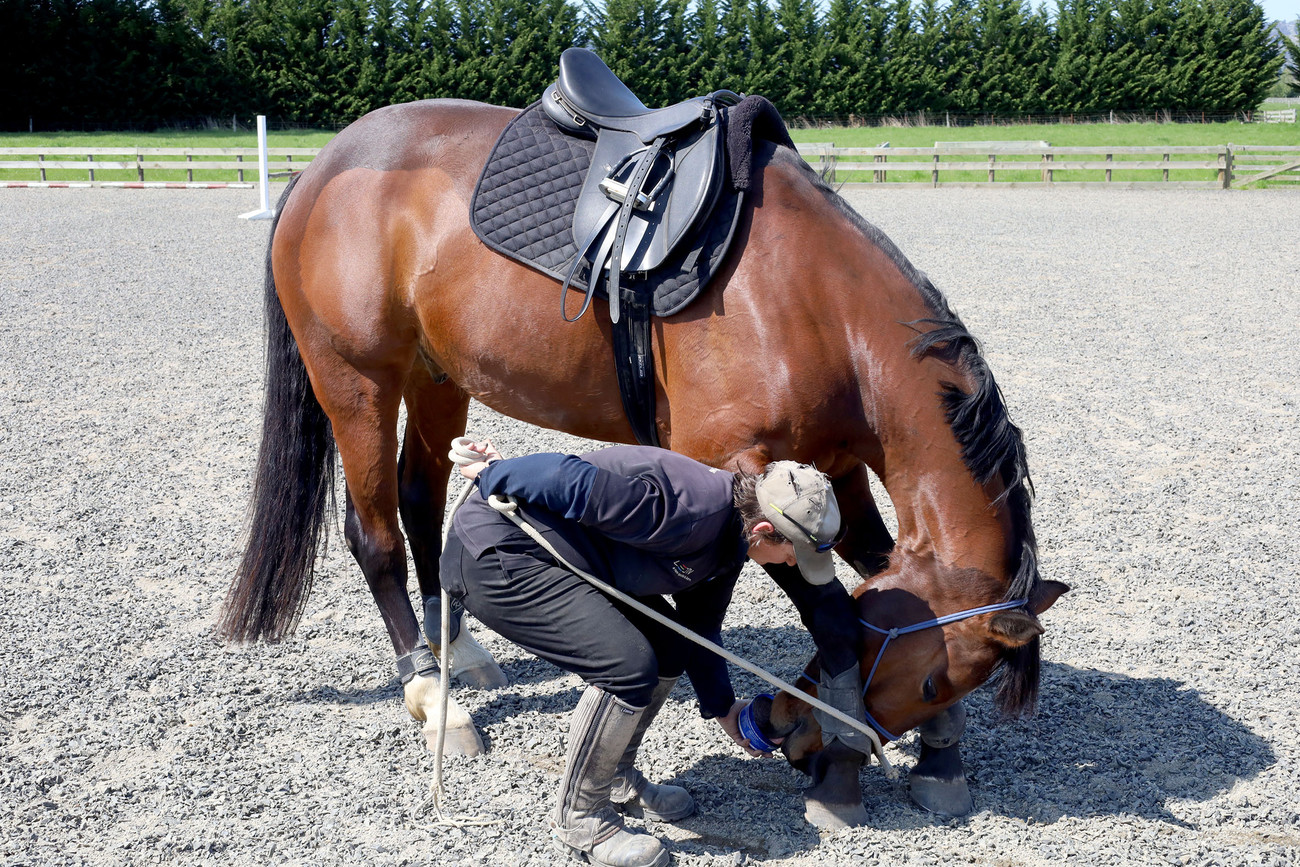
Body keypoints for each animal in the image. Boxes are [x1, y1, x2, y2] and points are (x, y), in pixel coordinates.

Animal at [216, 97, 1067, 827]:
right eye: (927, 678)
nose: (793, 734)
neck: (819, 305)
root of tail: (321, 167)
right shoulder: (732, 464)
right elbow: (812, 616)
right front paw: (844, 765)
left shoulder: (837, 470)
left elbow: (871, 566)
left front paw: (936, 757)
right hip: (356, 380)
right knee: (377, 537)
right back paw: (432, 693)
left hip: (438, 378)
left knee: (422, 503)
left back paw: (458, 647)